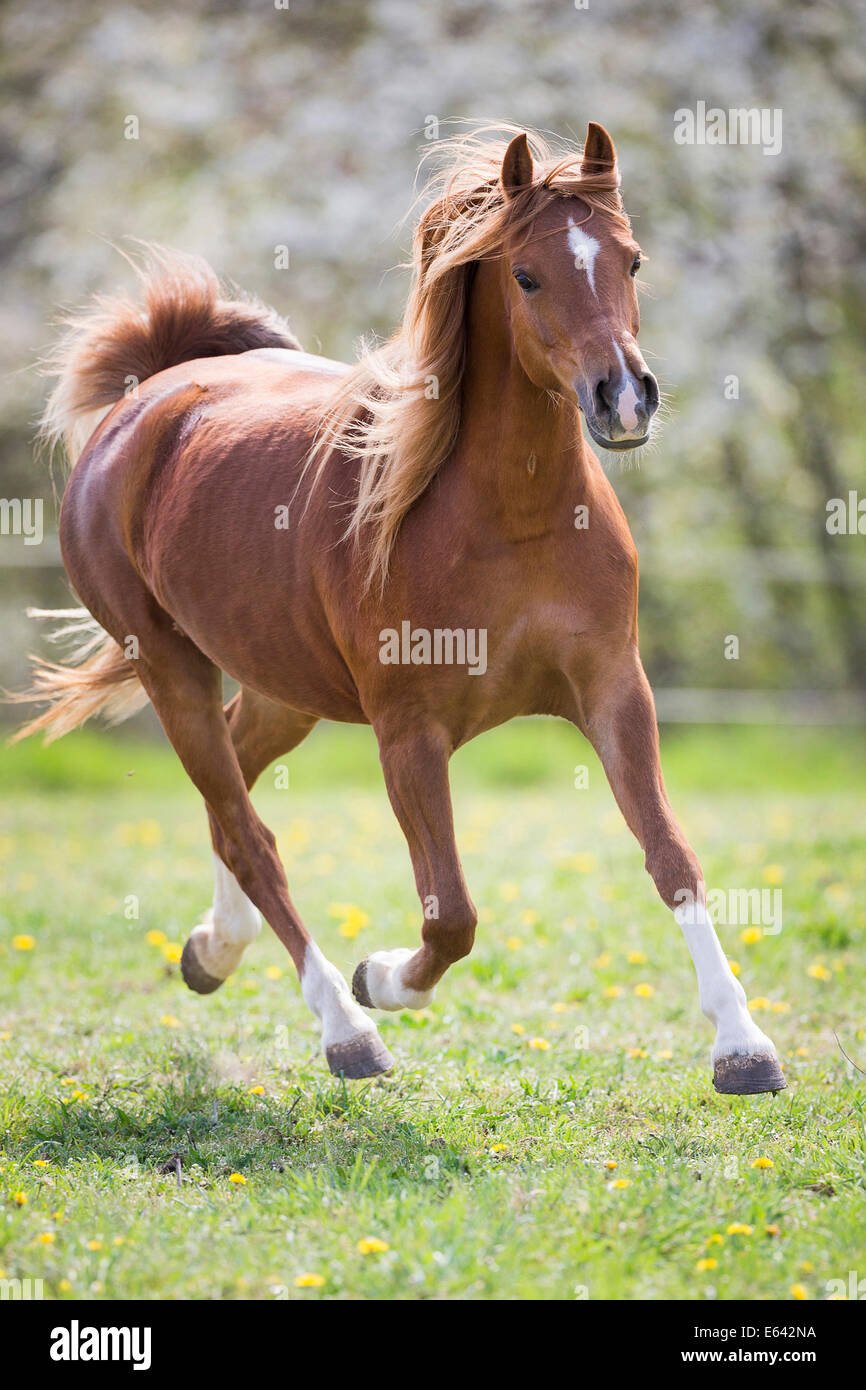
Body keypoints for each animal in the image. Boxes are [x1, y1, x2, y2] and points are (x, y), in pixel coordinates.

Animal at [13, 123, 784, 1095]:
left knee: (235, 795)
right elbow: (451, 914)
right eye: (527, 275)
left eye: (632, 260)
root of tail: (150, 399)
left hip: (283, 689)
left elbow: (671, 855)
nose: (624, 398)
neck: (512, 518)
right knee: (249, 832)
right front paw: (379, 980)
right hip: (168, 665)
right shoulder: (409, 733)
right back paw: (345, 1029)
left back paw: (213, 951)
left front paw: (743, 1045)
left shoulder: (615, 690)